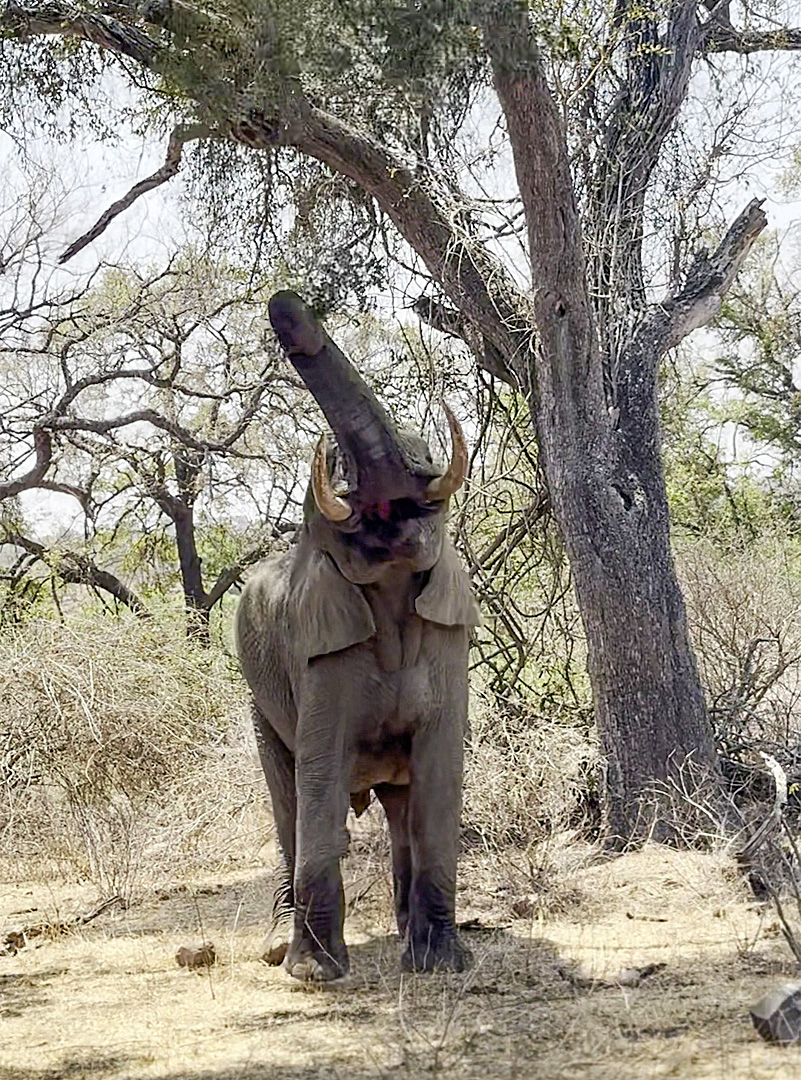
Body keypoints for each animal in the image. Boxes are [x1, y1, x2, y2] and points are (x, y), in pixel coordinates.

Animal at [235, 291, 480, 982]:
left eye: (416, 445)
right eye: (337, 470)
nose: (286, 306)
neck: (392, 596)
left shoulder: (448, 640)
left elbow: (439, 779)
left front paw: (442, 964)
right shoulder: (319, 653)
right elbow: (319, 777)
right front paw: (315, 975)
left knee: (400, 807)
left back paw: (405, 936)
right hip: (258, 703)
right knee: (287, 800)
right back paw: (281, 945)